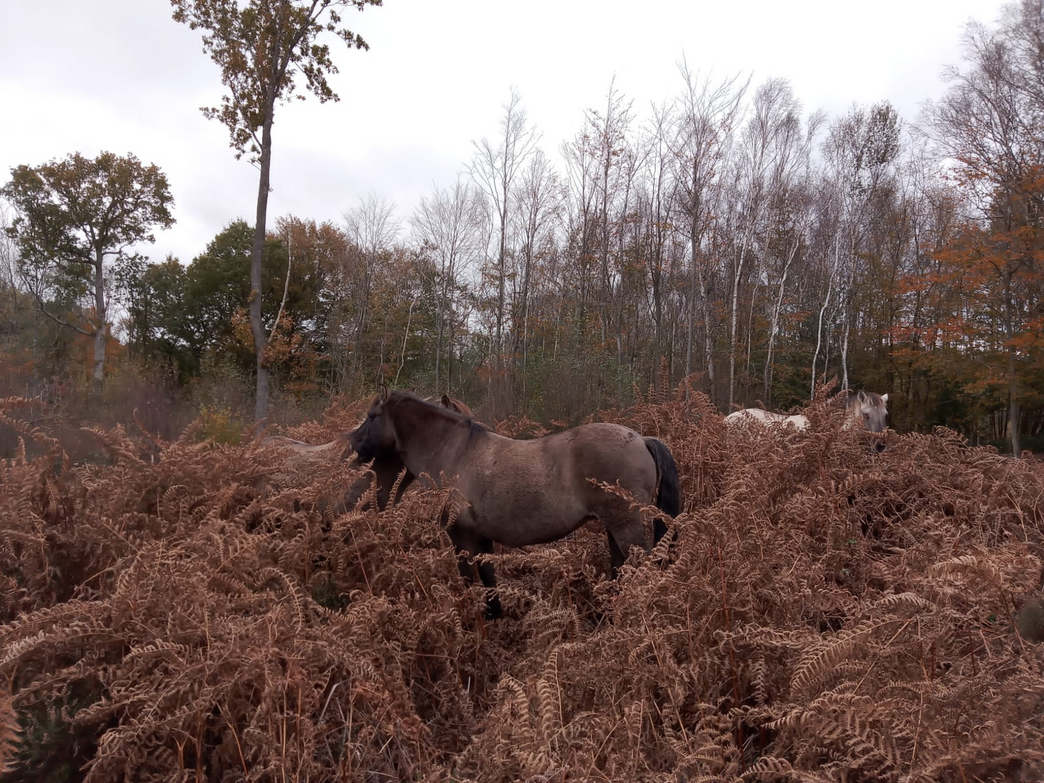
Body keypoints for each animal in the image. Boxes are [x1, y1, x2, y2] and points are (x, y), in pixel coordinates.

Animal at [349, 388, 682, 619]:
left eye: (371, 416)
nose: (353, 444)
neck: (454, 453)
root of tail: (642, 439)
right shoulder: (481, 537)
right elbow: (489, 582)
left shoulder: (461, 537)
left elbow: (470, 582)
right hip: (615, 528)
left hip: (626, 527)